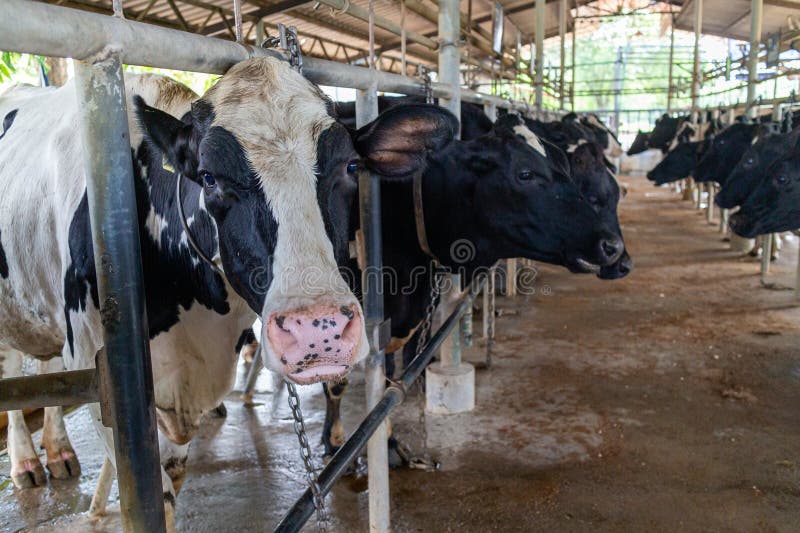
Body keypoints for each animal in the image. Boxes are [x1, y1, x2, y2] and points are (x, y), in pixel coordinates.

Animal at [0, 57, 456, 525]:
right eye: (209, 178)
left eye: (350, 168)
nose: (318, 330)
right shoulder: (101, 379)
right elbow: (159, 500)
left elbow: (174, 476)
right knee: (14, 366)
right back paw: (29, 461)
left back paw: (59, 453)